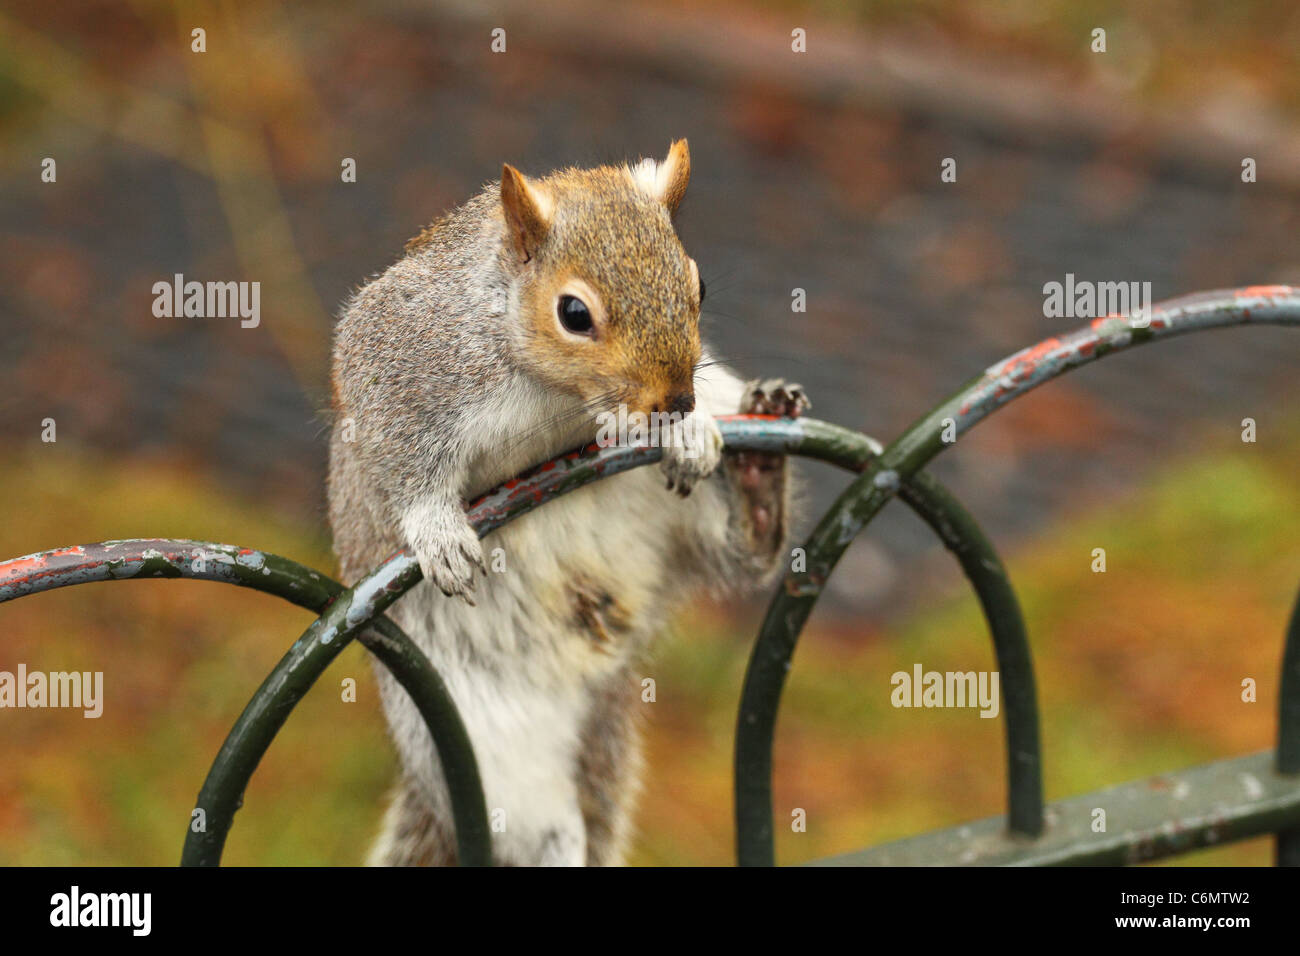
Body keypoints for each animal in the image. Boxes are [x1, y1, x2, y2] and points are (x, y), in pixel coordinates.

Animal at [328, 140, 809, 866]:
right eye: (574, 314)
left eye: (696, 286)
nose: (677, 402)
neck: (556, 394)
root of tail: (598, 678)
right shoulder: (403, 356)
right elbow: (395, 444)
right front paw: (435, 528)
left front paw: (692, 430)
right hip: (485, 748)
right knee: (539, 827)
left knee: (743, 554)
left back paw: (757, 471)